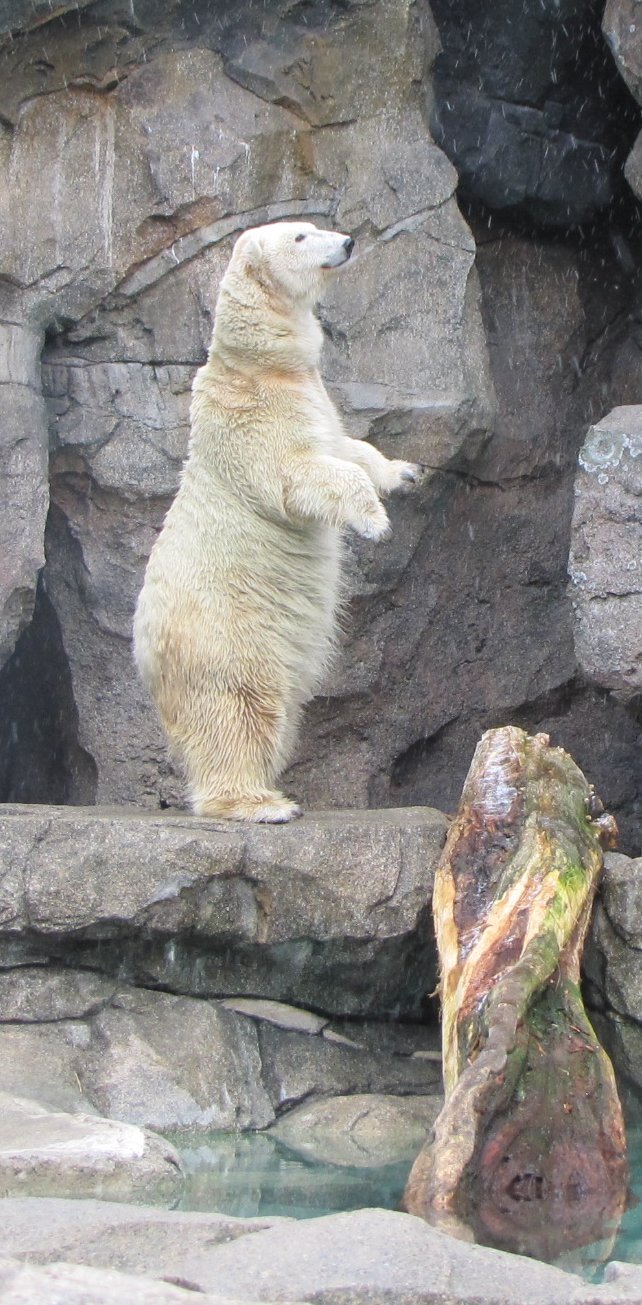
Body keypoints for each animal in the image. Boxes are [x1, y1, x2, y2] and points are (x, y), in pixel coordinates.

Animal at [133, 221, 421, 823]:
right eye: (300, 236)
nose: (348, 242)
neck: (260, 363)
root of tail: (147, 660)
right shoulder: (255, 417)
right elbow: (299, 474)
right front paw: (374, 522)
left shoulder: (315, 403)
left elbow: (348, 448)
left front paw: (404, 472)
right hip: (225, 638)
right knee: (237, 712)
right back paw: (262, 803)